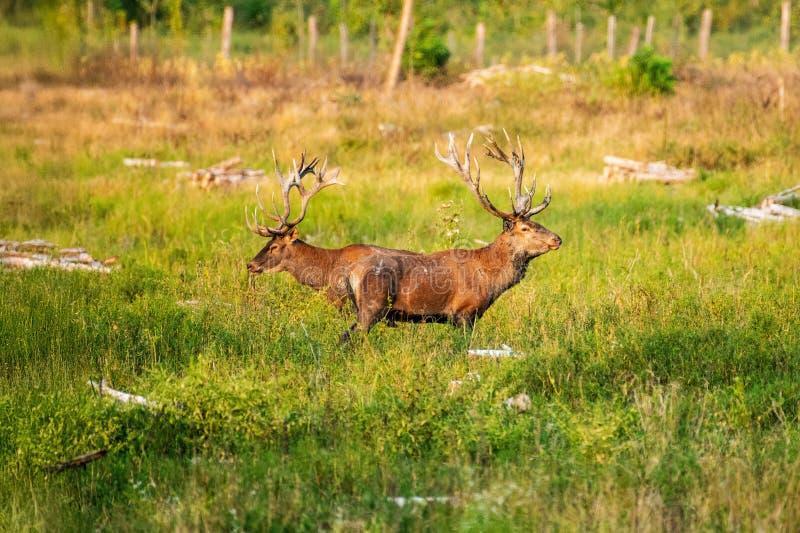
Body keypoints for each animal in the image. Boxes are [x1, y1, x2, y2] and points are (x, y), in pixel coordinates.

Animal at [341, 132, 562, 341]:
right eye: (525, 228)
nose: (557, 239)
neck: (489, 277)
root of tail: (351, 271)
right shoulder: (464, 311)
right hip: (372, 306)